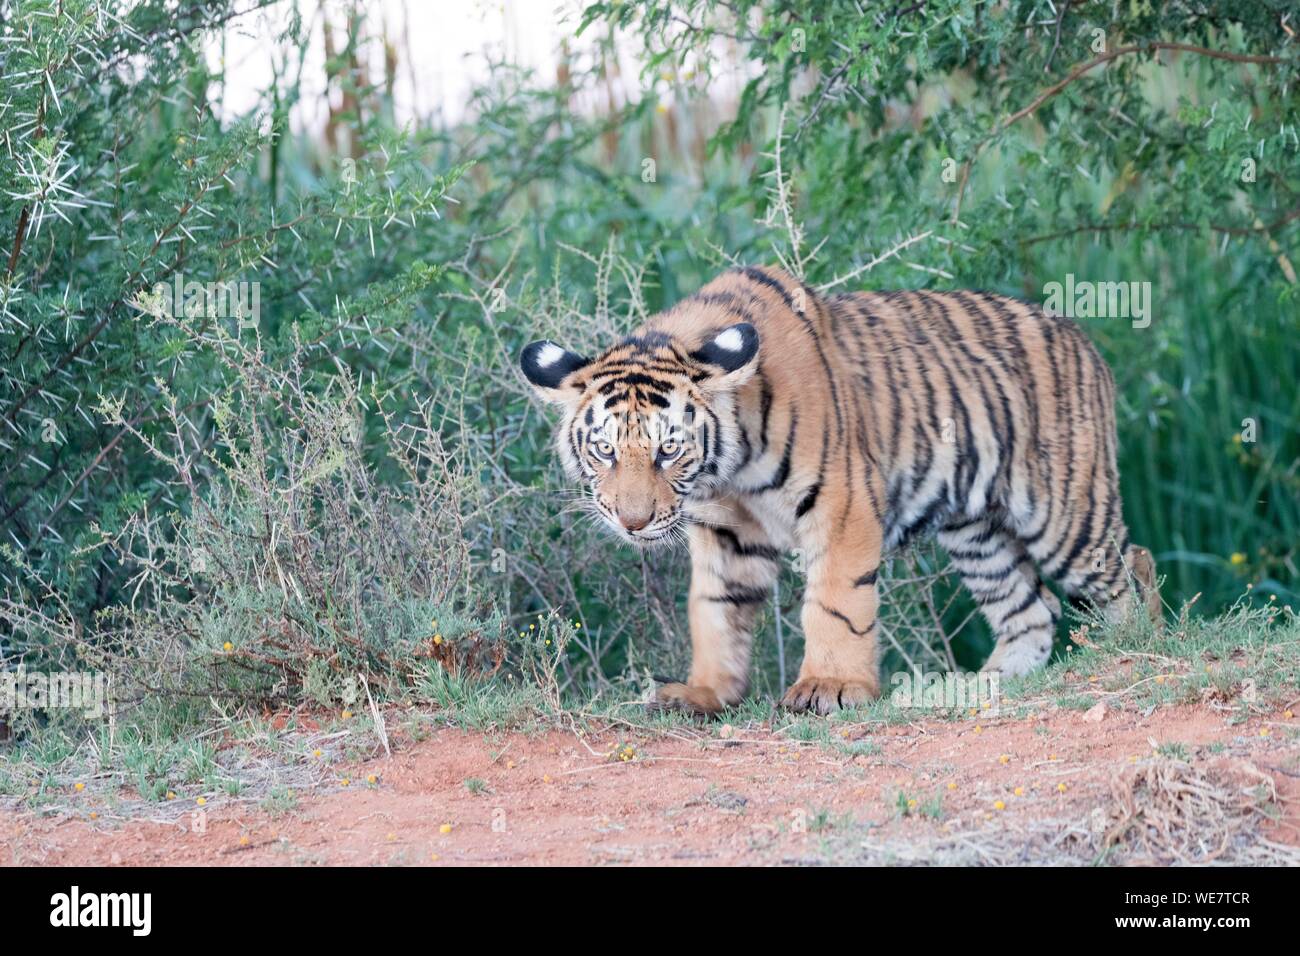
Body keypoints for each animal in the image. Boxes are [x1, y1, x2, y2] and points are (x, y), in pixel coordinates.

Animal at [520, 265, 1161, 715]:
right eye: (605, 450)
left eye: (669, 449)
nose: (632, 522)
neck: (729, 467)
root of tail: (1081, 335)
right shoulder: (725, 531)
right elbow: (714, 612)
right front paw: (702, 693)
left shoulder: (842, 505)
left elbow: (836, 602)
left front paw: (827, 687)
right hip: (976, 532)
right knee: (1030, 609)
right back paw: (980, 686)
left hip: (1062, 512)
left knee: (1131, 565)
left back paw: (1132, 648)